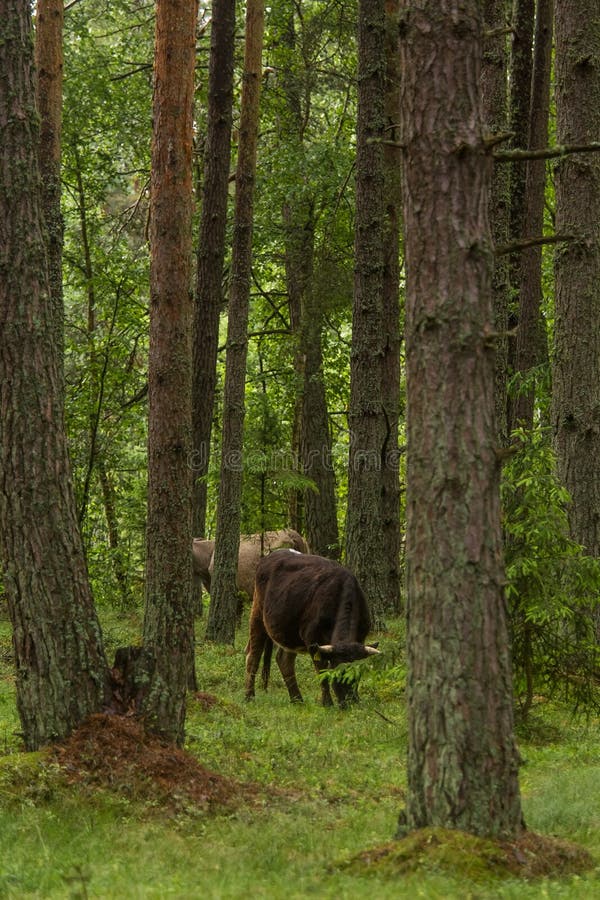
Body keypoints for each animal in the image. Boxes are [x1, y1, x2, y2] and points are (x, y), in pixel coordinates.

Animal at [245, 550, 380, 707]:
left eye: (357, 674)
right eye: (337, 673)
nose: (350, 701)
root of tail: (274, 553)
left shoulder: (360, 637)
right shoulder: (312, 639)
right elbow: (321, 672)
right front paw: (327, 703)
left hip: (290, 632)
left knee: (284, 660)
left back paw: (297, 699)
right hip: (257, 613)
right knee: (253, 657)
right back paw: (249, 696)